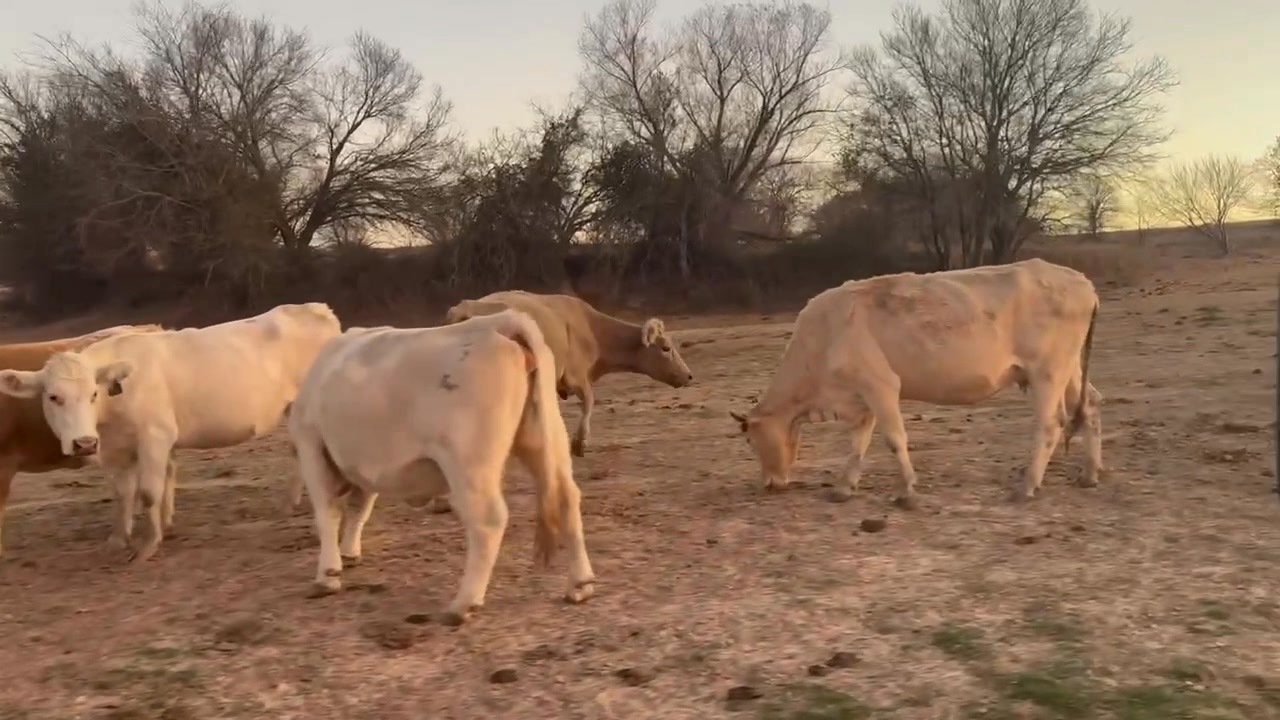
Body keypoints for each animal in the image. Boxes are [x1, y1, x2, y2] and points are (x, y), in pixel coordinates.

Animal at [287, 310, 595, 626]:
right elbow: (359, 507)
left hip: (469, 463)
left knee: (488, 521)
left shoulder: (311, 444)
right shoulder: (362, 463)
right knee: (566, 499)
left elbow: (327, 513)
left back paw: (463, 604)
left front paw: (327, 575)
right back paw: (579, 585)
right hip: (545, 440)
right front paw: (348, 553)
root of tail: (497, 321)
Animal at [444, 290, 695, 458]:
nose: (689, 376)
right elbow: (589, 401)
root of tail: (464, 309)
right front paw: (579, 443)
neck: (591, 329)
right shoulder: (576, 376)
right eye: (666, 348)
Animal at [730, 258, 1103, 507]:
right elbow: (857, 444)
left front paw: (906, 491)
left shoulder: (880, 385)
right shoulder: (861, 398)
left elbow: (894, 439)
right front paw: (844, 487)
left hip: (1047, 372)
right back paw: (1089, 474)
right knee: (1091, 406)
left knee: (1050, 424)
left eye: (750, 441)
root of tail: (1080, 280)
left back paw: (1027, 485)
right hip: (1069, 370)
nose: (770, 484)